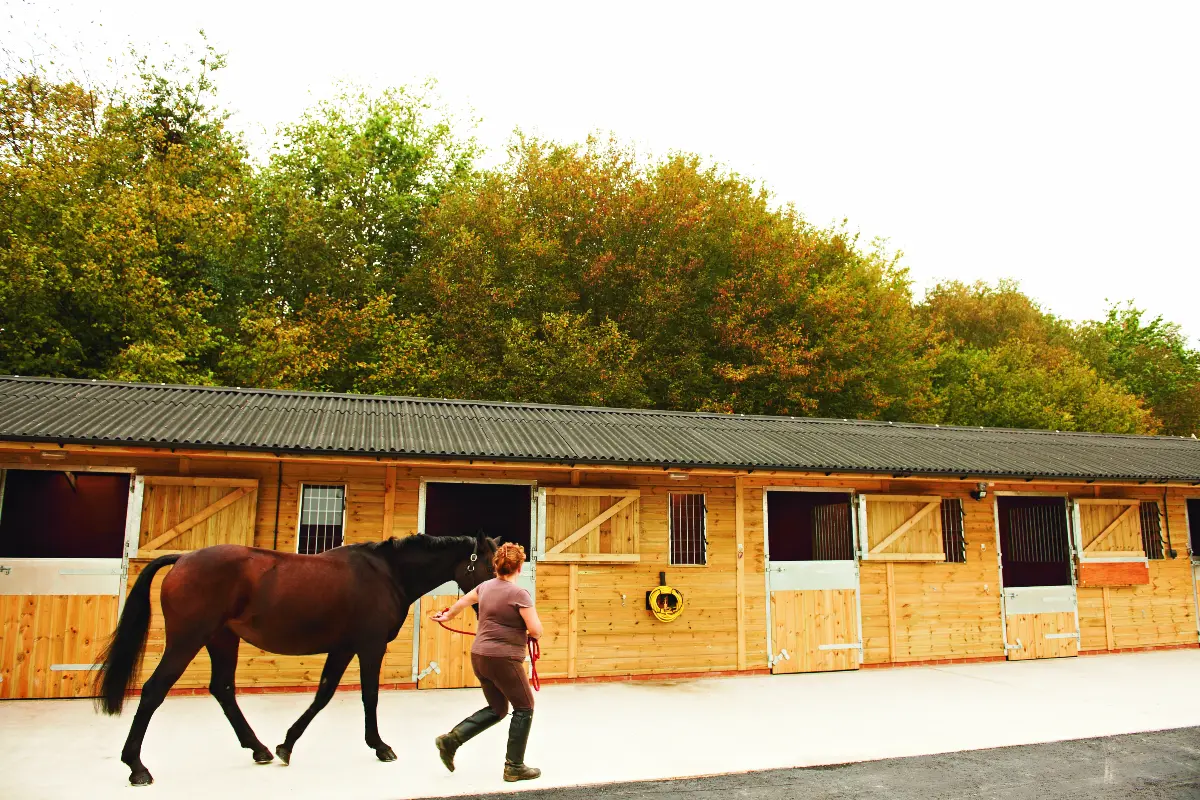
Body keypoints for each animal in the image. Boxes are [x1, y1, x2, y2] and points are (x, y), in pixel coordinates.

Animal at [93, 532, 499, 786]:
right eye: (492, 567)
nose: (495, 598)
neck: (387, 573)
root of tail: (183, 559)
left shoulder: (343, 647)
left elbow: (323, 694)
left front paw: (285, 745)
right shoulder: (368, 646)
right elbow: (368, 696)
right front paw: (381, 747)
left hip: (221, 639)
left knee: (222, 688)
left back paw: (258, 749)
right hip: (187, 639)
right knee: (154, 691)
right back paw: (137, 767)